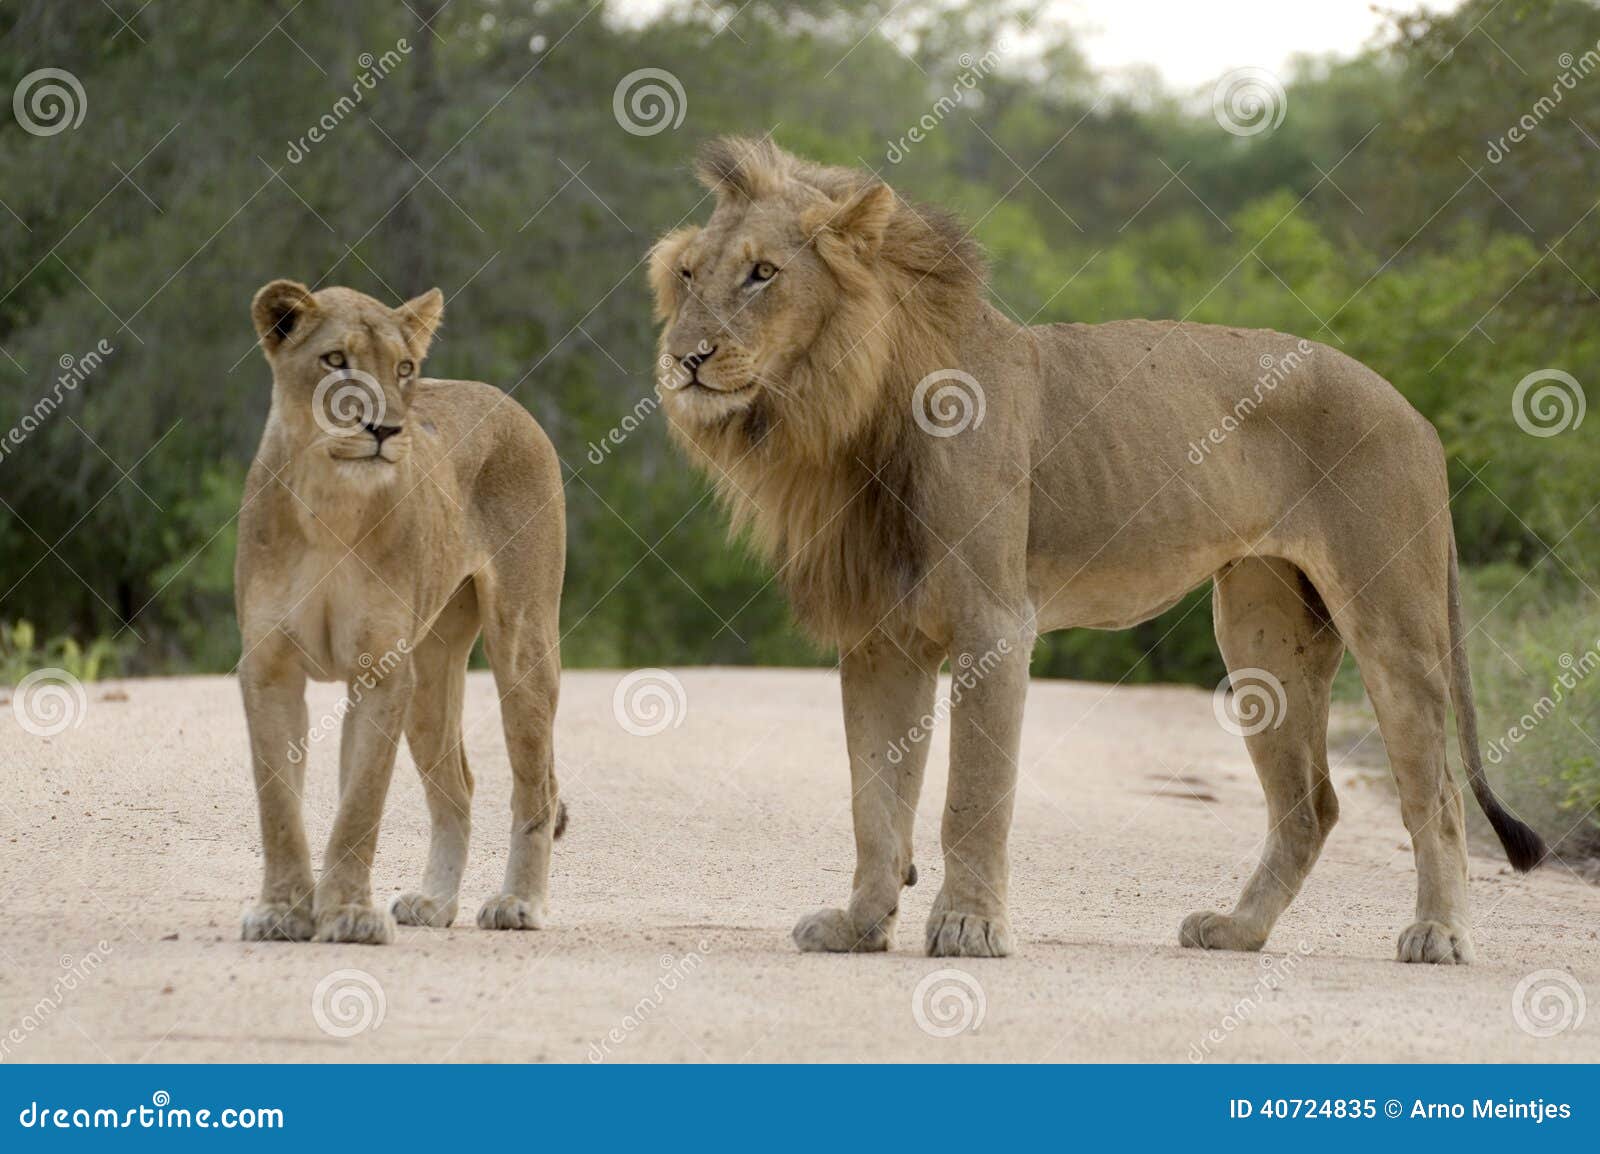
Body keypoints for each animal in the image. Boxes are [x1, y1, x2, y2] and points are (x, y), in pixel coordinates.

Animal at [236, 279, 566, 945]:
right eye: (336, 361)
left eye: (405, 369)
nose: (385, 429)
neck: (330, 505)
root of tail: (508, 403)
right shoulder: (268, 667)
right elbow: (278, 801)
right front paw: (282, 911)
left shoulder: (382, 669)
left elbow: (360, 804)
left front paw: (348, 915)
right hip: (432, 672)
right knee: (457, 788)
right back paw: (435, 902)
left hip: (521, 643)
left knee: (536, 783)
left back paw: (517, 903)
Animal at [648, 137, 1545, 963]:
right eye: (688, 274)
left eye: (763, 273)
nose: (684, 358)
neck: (847, 415)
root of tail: (1414, 412)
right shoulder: (879, 637)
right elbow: (874, 797)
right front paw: (860, 926)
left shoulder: (993, 622)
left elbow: (971, 796)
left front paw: (968, 927)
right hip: (1262, 632)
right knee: (1309, 802)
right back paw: (1237, 930)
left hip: (1394, 622)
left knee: (1436, 796)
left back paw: (1439, 934)